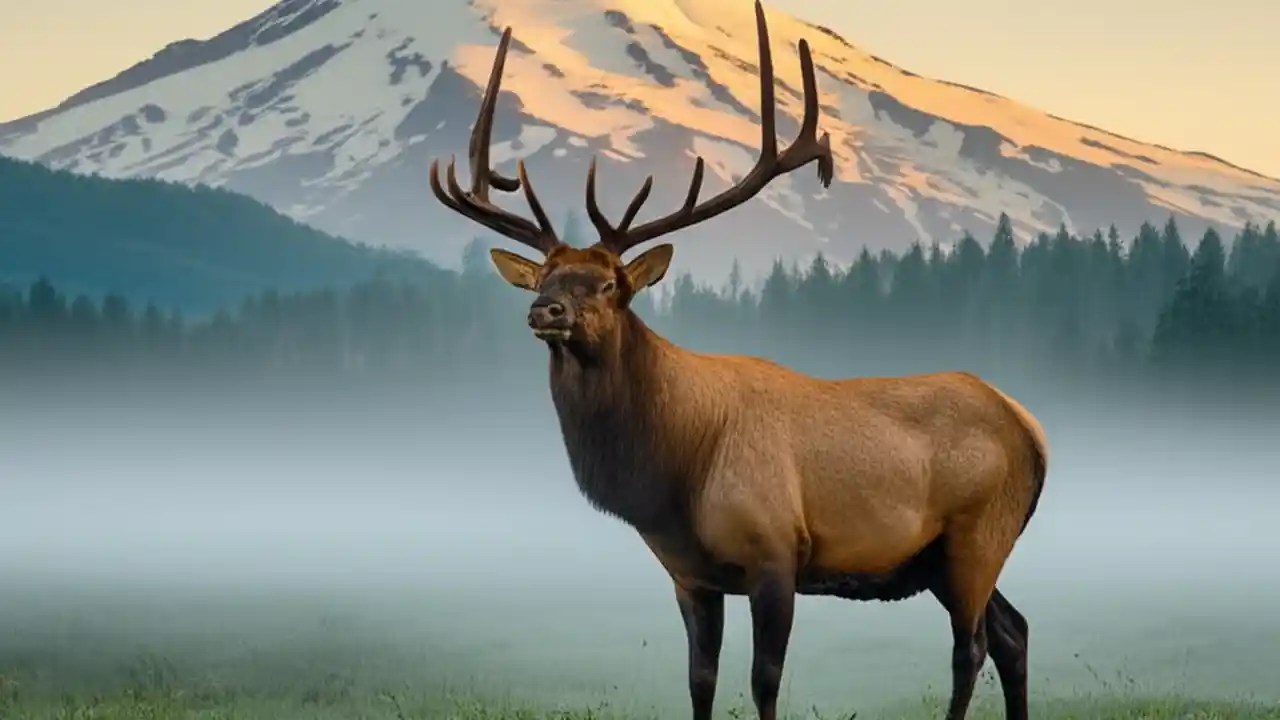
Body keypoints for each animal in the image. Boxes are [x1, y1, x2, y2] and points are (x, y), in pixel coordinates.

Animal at [426, 3, 1048, 719]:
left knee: (970, 647)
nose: (544, 311)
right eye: (544, 279)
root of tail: (1033, 430)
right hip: (945, 559)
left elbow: (764, 679)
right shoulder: (689, 573)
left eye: (610, 284)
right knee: (1013, 630)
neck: (672, 471)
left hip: (977, 534)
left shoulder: (775, 551)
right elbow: (700, 679)